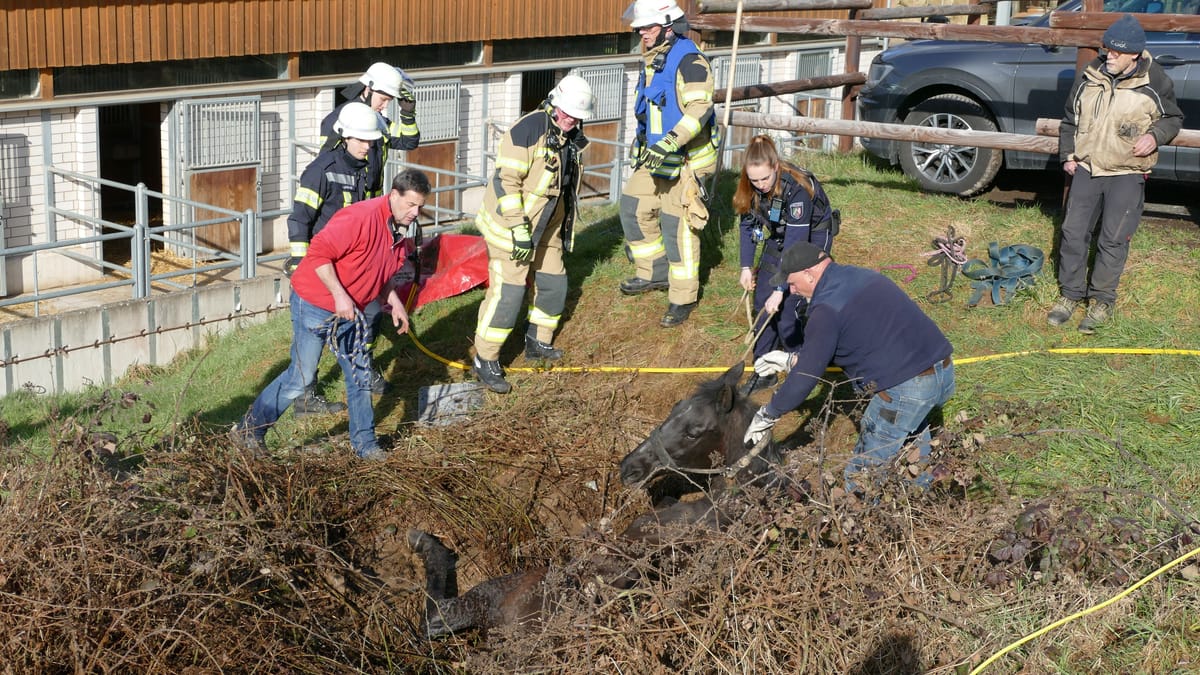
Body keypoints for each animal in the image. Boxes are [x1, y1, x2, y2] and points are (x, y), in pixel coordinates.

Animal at [407, 363, 784, 638]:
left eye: (694, 431)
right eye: (674, 408)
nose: (629, 467)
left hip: (496, 591)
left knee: (437, 617)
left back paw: (424, 541)